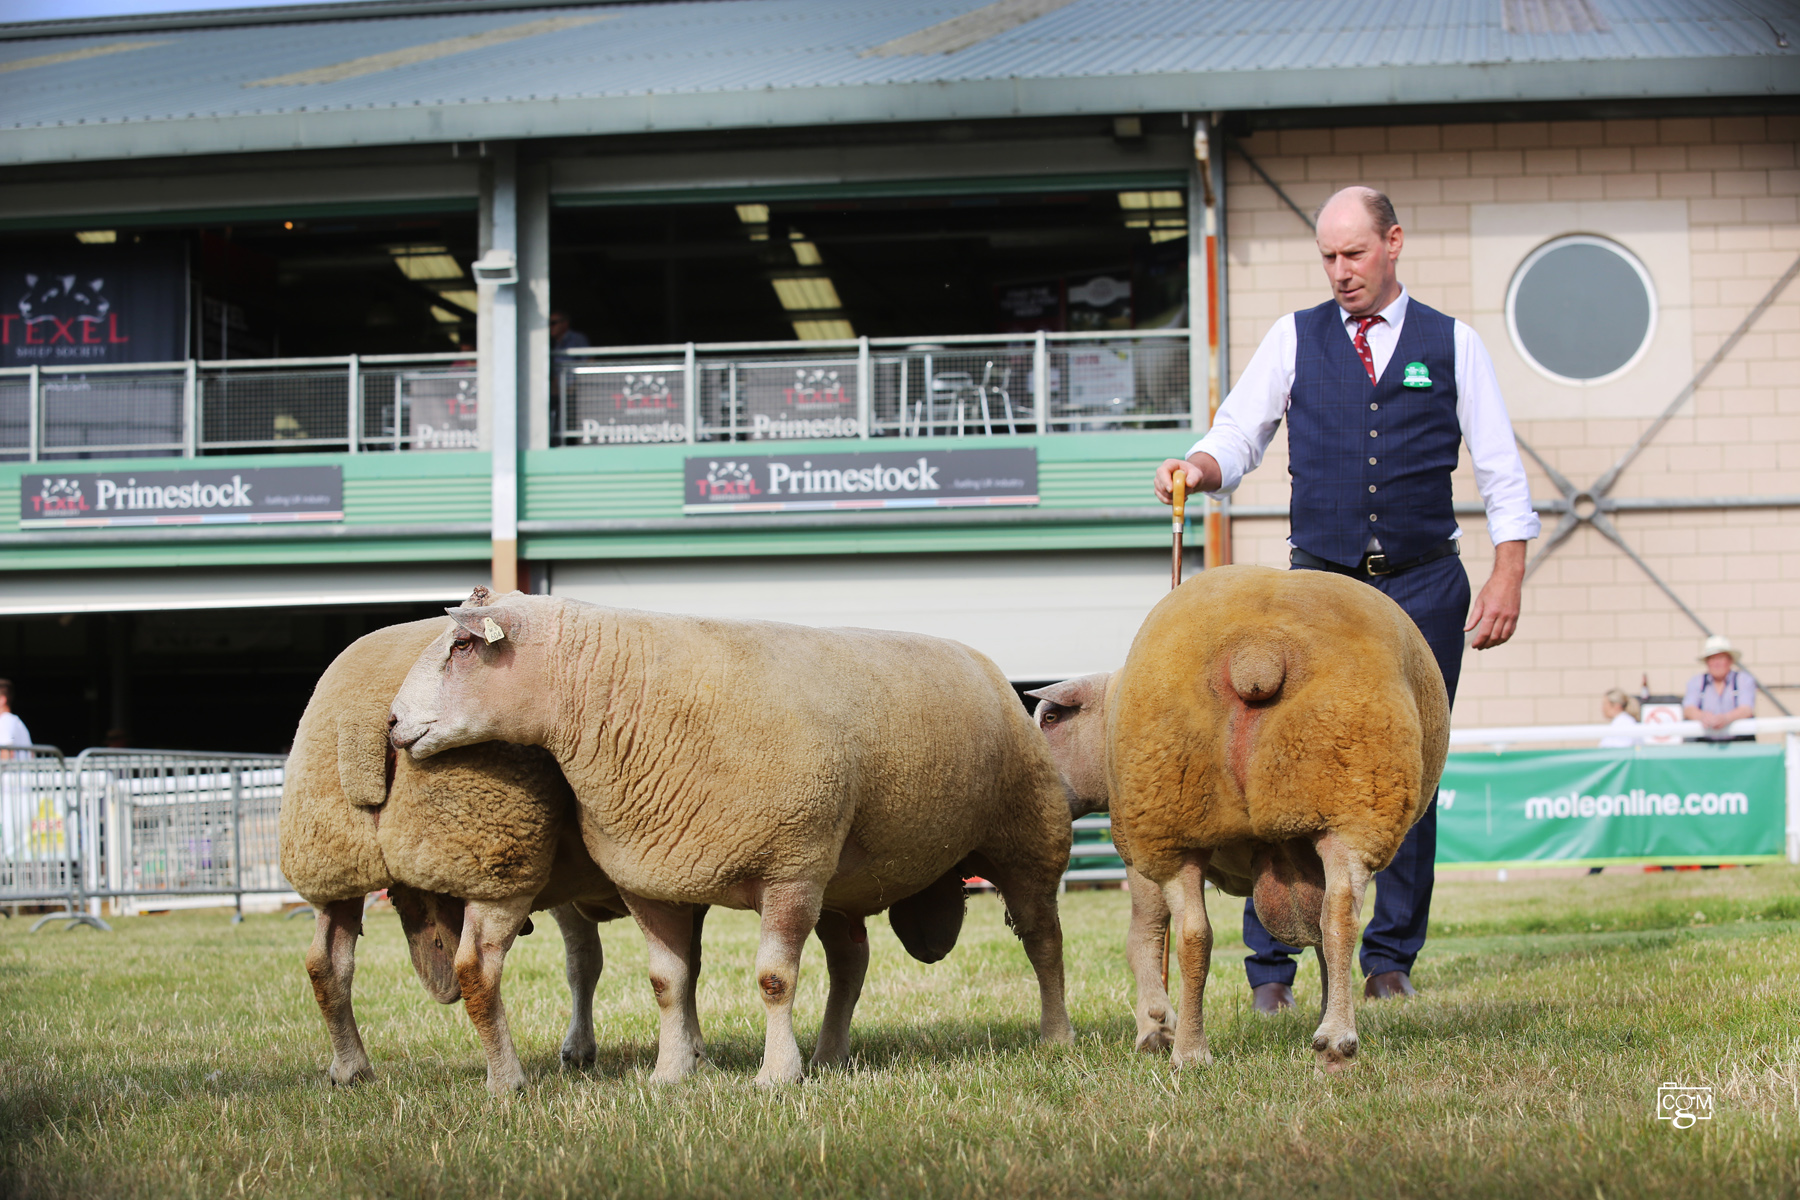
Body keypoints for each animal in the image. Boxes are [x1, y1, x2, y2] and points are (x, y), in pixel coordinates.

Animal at [279, 615, 707, 1095]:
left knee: (325, 964)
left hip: (332, 860)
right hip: (496, 855)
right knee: (476, 968)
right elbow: (683, 964)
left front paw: (582, 1050)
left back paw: (350, 1069)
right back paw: (507, 1078)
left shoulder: (568, 884)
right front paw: (691, 1048)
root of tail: (360, 724)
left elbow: (585, 962)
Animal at [388, 591, 1075, 1085]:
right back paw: (829, 1054)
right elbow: (668, 982)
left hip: (1026, 839)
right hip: (841, 876)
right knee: (850, 962)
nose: (392, 722)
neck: (619, 700)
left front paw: (776, 1077)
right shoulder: (651, 878)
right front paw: (671, 1076)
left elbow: (774, 979)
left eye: (461, 647)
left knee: (1044, 942)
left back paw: (1056, 1037)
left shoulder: (790, 867)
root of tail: (985, 664)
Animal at [1028, 565, 1448, 1072]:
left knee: (1193, 934)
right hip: (1343, 800)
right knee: (1334, 916)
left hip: (1175, 817)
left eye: (1050, 718)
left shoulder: (1137, 850)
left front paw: (1155, 1026)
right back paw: (1324, 1039)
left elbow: (1142, 937)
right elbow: (1320, 940)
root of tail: (1257, 654)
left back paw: (1193, 1048)